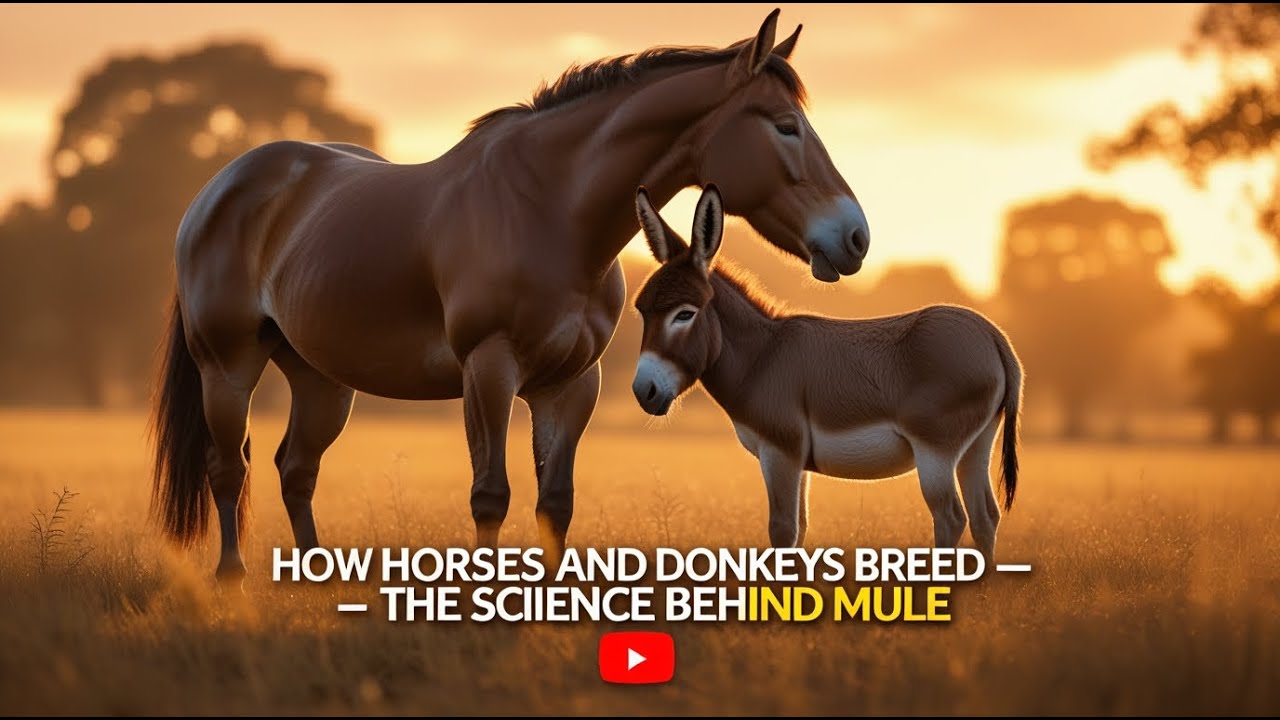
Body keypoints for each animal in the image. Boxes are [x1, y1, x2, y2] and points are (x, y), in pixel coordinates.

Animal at [151, 9, 872, 582]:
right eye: (784, 126)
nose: (855, 236)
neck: (549, 213)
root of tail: (218, 190)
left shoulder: (571, 384)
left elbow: (556, 500)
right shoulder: (489, 369)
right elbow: (489, 493)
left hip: (321, 380)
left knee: (295, 469)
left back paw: (315, 581)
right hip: (227, 367)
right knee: (228, 466)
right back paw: (232, 578)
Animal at [629, 185, 1022, 558]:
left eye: (684, 313)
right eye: (642, 311)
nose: (643, 391)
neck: (762, 357)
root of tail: (993, 336)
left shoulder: (780, 451)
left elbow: (783, 531)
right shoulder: (796, 460)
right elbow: (801, 528)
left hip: (936, 450)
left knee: (951, 517)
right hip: (977, 444)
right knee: (985, 517)